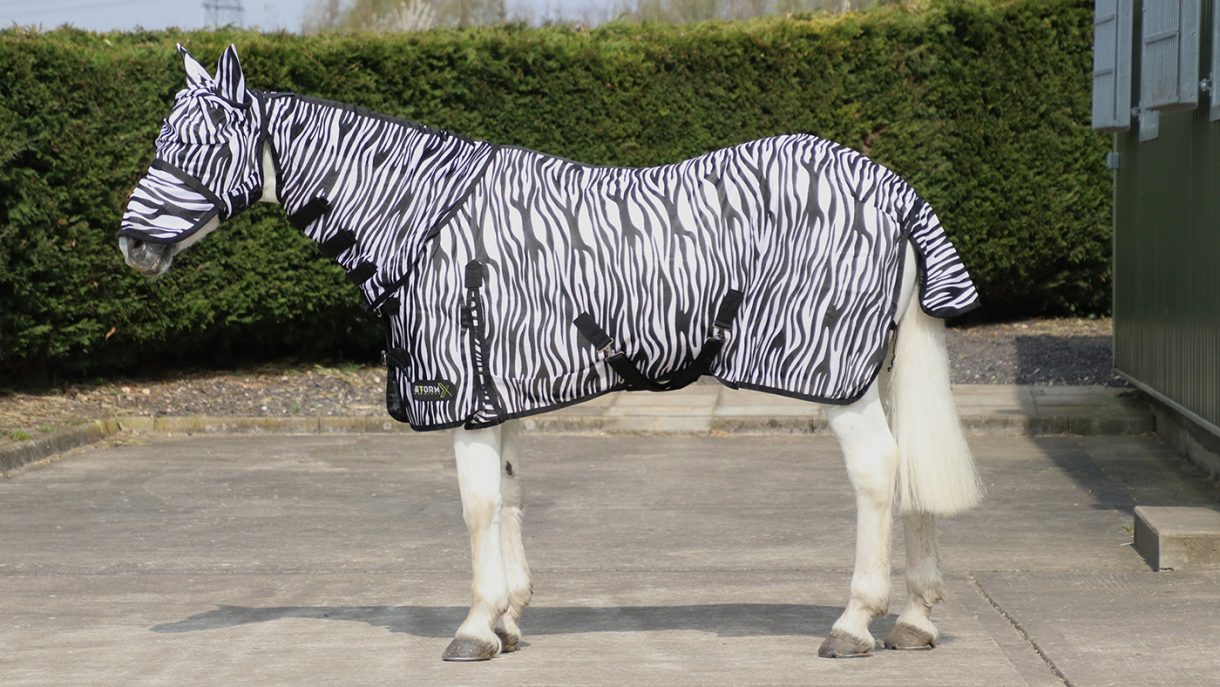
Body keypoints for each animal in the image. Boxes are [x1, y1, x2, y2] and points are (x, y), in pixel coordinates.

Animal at [118, 44, 982, 661]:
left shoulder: (460, 391)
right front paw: (506, 622)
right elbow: (509, 498)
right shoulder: (497, 391)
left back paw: (854, 623)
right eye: (161, 140)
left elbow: (475, 506)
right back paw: (914, 621)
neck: (423, 220)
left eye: (197, 145)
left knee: (877, 471)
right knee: (911, 472)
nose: (131, 245)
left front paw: (473, 629)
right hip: (882, 364)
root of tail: (891, 187)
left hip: (837, 378)